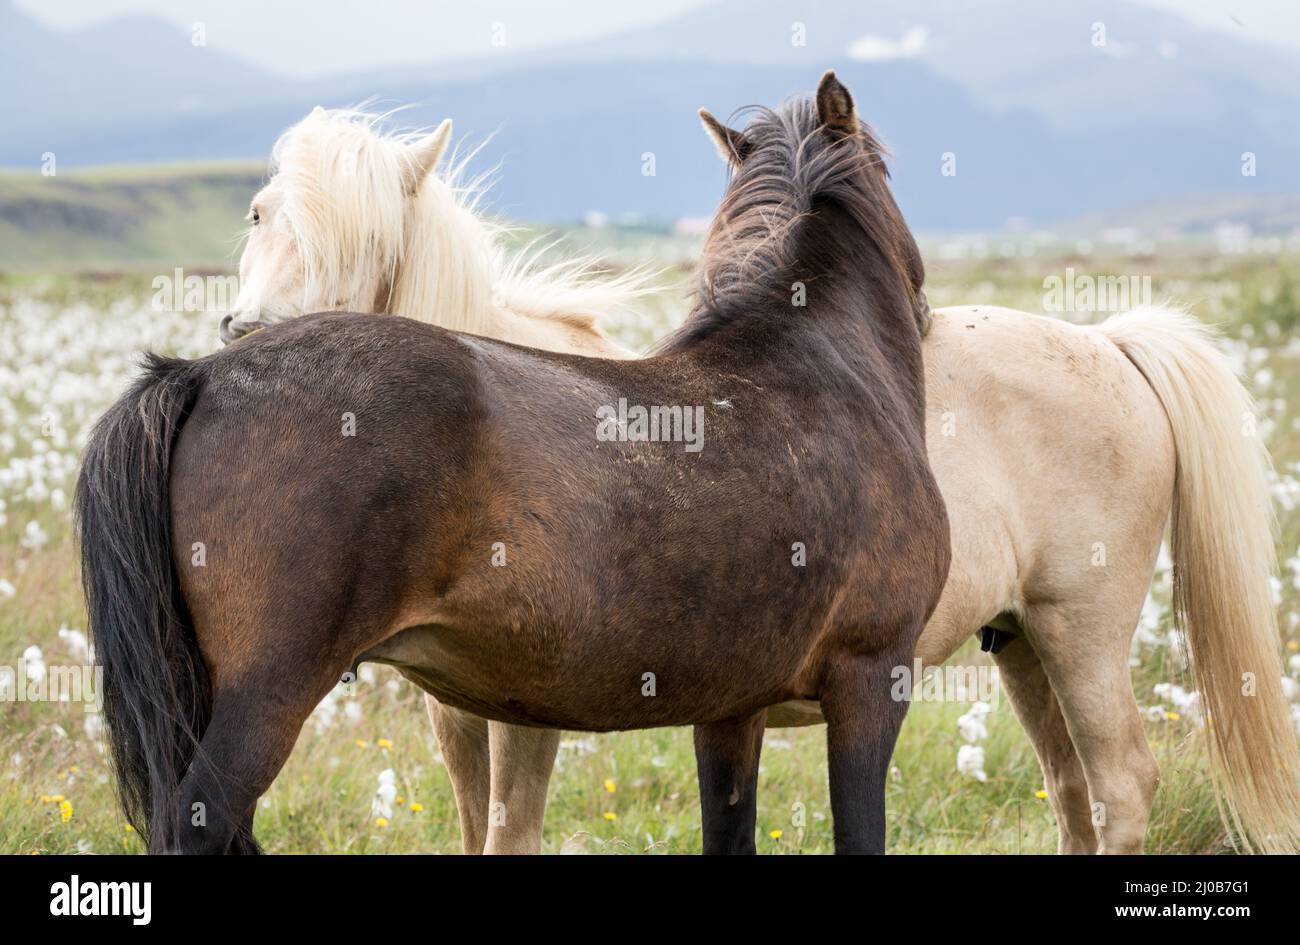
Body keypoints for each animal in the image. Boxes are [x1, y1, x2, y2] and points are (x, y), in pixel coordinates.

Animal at [76, 71, 951, 855]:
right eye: (258, 215)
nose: (926, 311)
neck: (812, 364)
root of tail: (202, 375)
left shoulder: (731, 705)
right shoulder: (870, 681)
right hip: (266, 696)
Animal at [216, 95, 1300, 855]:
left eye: (362, 242)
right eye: (259, 215)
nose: (252, 349)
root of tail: (1111, 344)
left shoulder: (528, 718)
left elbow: (510, 831)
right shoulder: (463, 714)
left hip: (1082, 631)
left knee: (1119, 787)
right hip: (1023, 641)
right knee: (1075, 794)